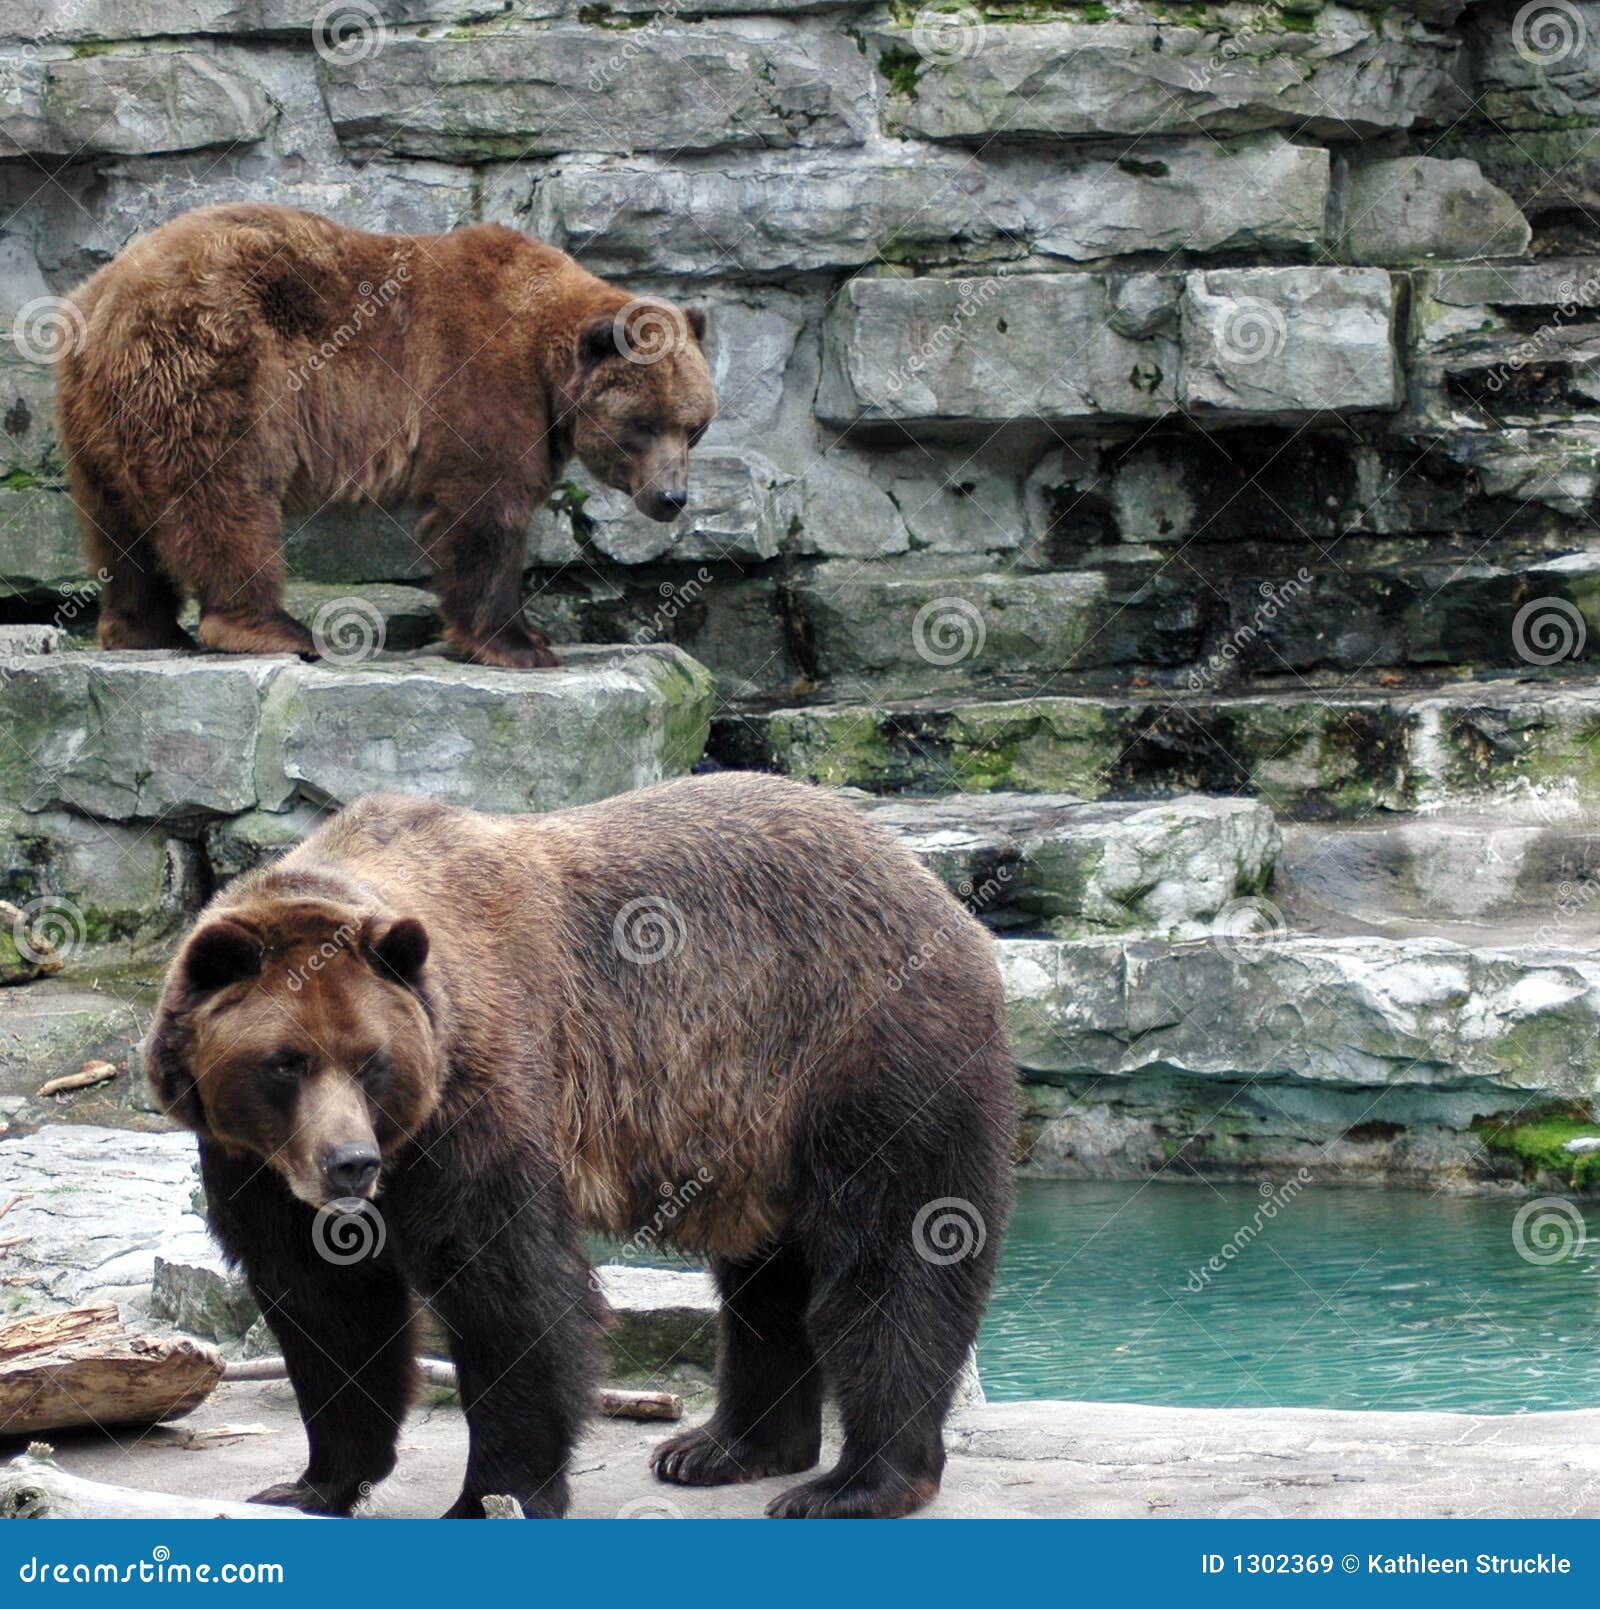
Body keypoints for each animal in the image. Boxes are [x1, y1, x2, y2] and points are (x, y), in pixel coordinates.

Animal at [54, 203, 717, 668]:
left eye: (695, 427)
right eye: (644, 424)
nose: (672, 498)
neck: (546, 354)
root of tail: (104, 302)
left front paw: (530, 633)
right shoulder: (482, 380)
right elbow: (486, 511)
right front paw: (518, 643)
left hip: (96, 419)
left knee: (115, 524)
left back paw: (141, 628)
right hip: (215, 357)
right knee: (226, 494)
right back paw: (272, 627)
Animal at [144, 772, 1016, 1520]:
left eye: (371, 1060)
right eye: (285, 1062)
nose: (350, 1164)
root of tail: (934, 889)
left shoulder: (479, 1096)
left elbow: (509, 1286)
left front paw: (491, 1493)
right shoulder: (251, 1159)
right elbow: (325, 1301)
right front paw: (310, 1481)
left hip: (860, 1047)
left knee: (893, 1252)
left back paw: (857, 1479)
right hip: (755, 1120)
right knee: (766, 1278)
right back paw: (725, 1446)